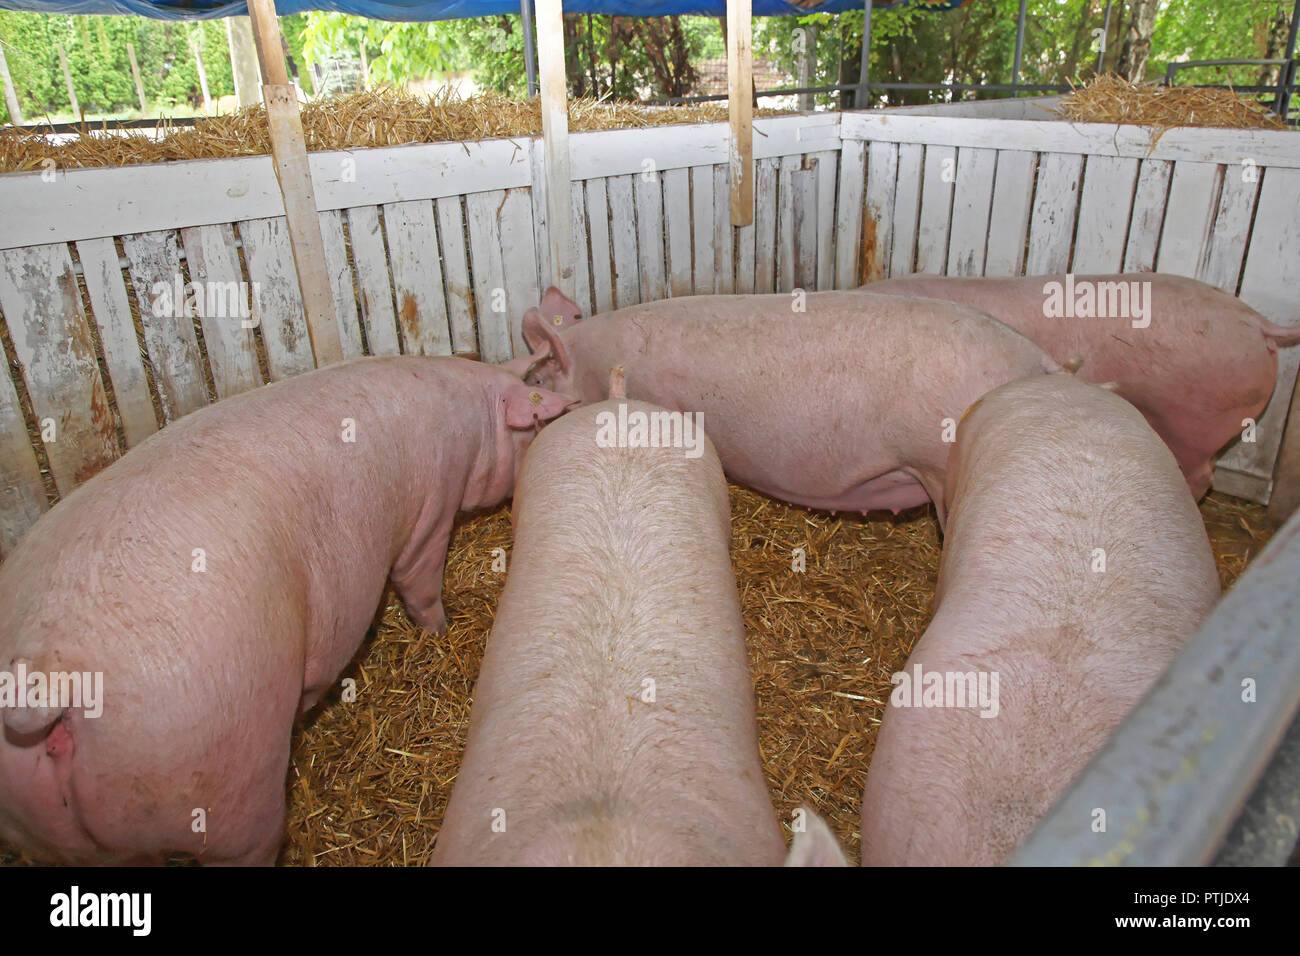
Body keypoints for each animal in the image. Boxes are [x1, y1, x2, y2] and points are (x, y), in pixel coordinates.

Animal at [0, 356, 574, 866]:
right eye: (531, 428)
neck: (473, 416)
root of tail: (51, 675)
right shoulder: (430, 511)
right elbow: (419, 581)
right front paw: (440, 629)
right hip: (221, 784)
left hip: (56, 828)